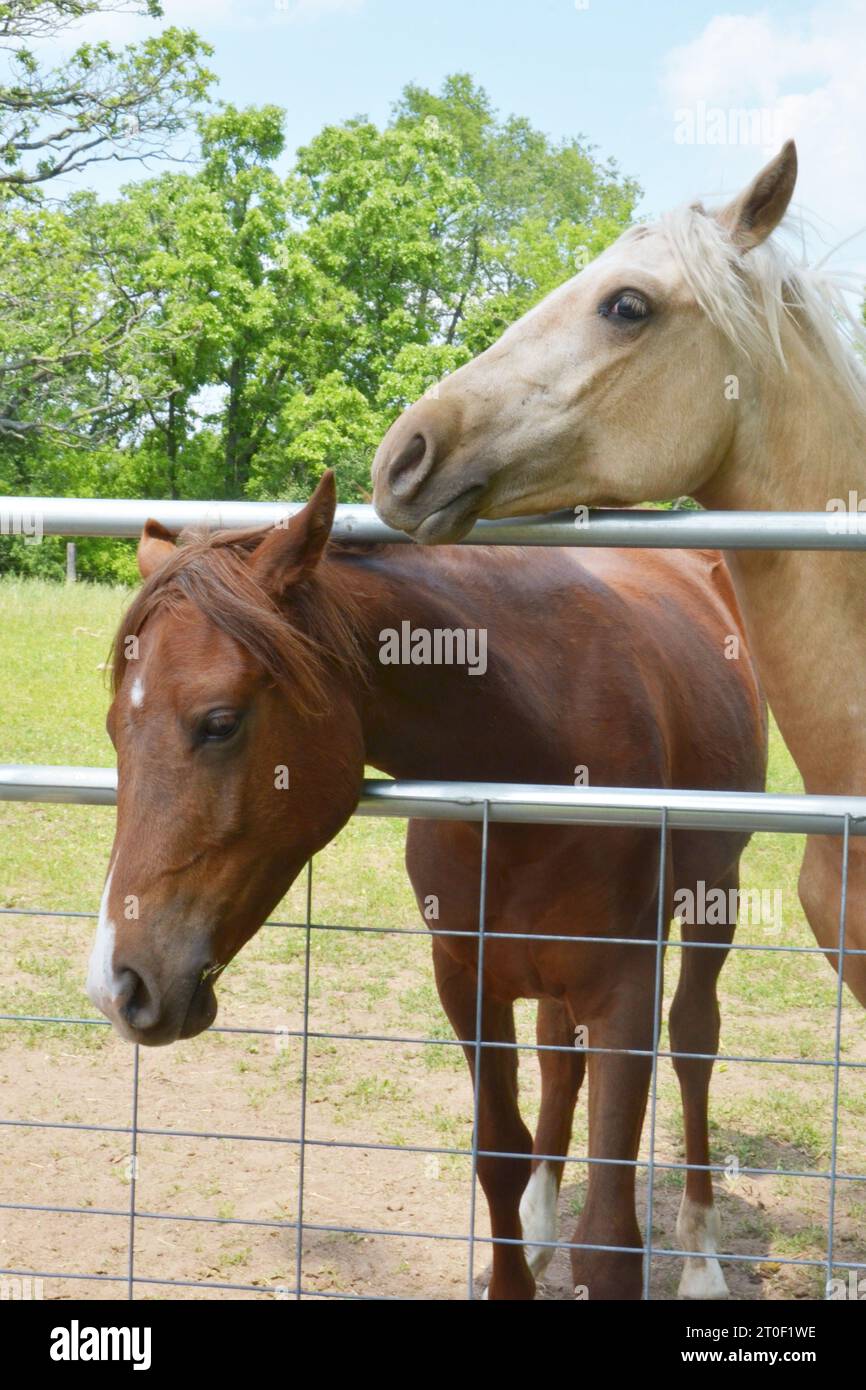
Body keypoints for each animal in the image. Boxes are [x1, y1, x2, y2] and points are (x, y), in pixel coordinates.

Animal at [86, 471, 766, 1300]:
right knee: (558, 1060)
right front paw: (516, 1263)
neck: (539, 750)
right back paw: (543, 1227)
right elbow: (500, 1155)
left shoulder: (624, 991)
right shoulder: (464, 977)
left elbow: (609, 1235)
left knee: (695, 1044)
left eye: (219, 722)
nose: (118, 985)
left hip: (716, 897)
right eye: (116, 729)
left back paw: (701, 1259)